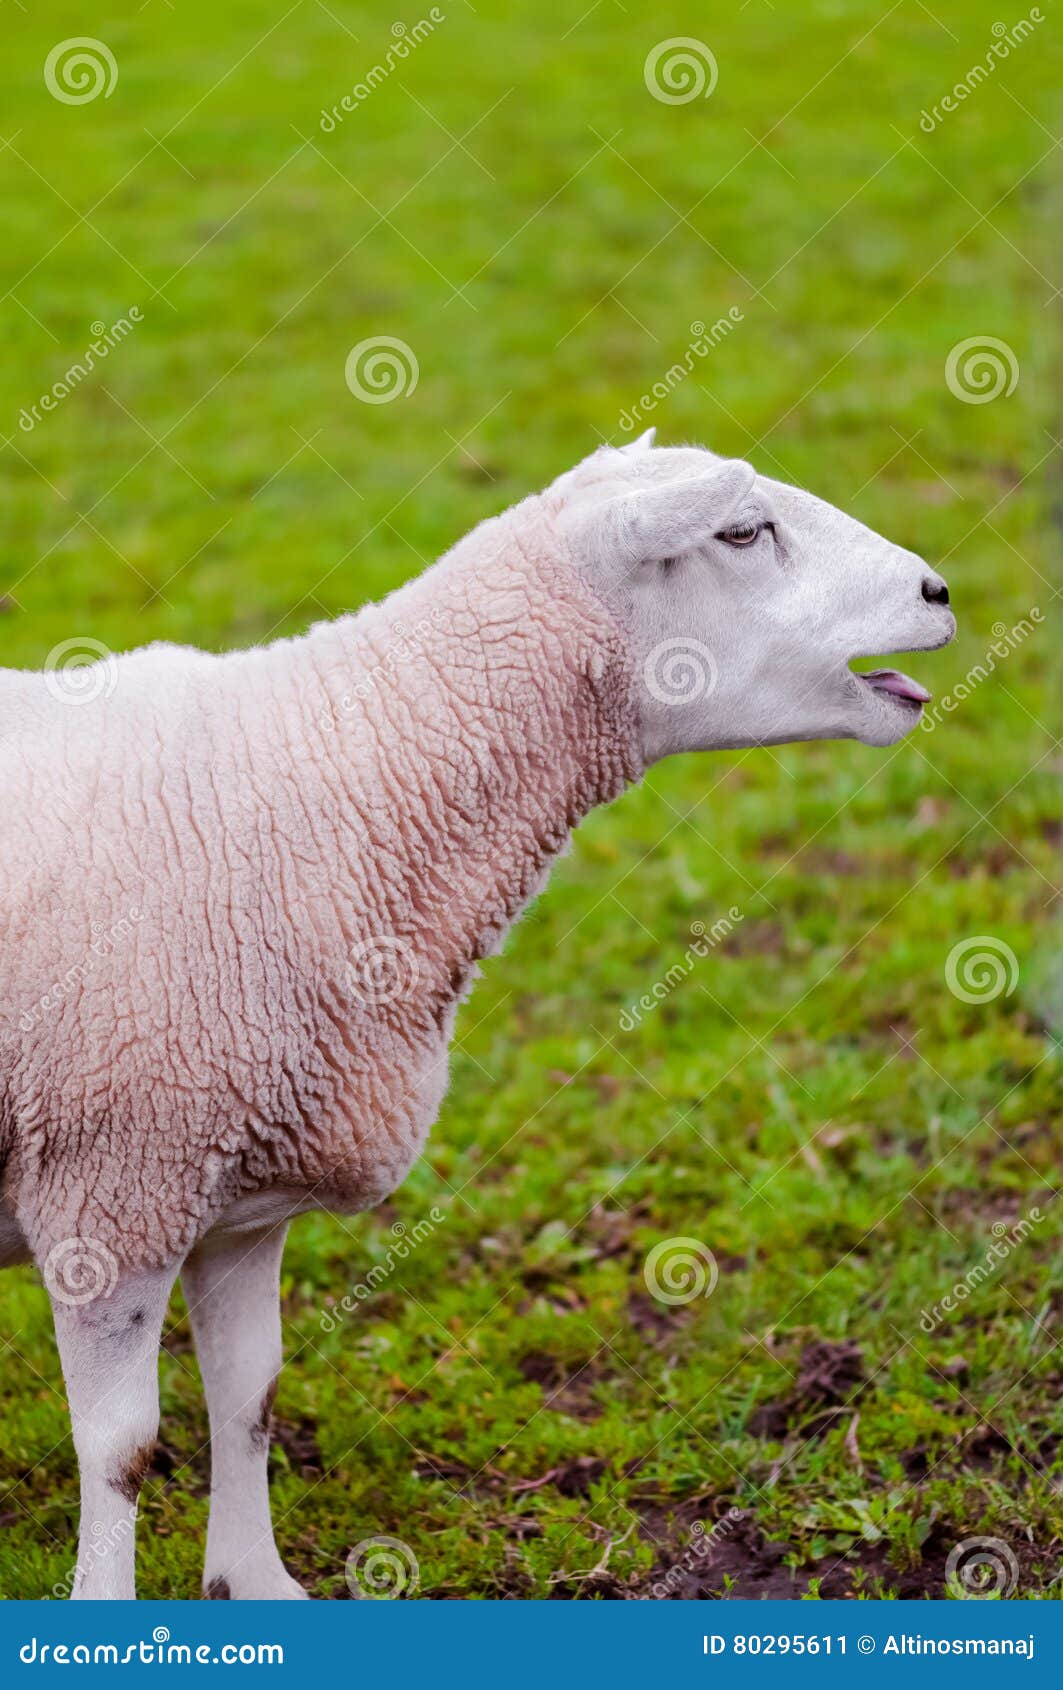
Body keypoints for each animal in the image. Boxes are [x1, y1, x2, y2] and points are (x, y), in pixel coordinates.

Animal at [0, 430, 955, 1598]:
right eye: (739, 531)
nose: (939, 592)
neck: (336, 791)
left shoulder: (240, 1198)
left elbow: (250, 1399)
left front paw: (256, 1585)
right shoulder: (112, 1189)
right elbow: (123, 1451)